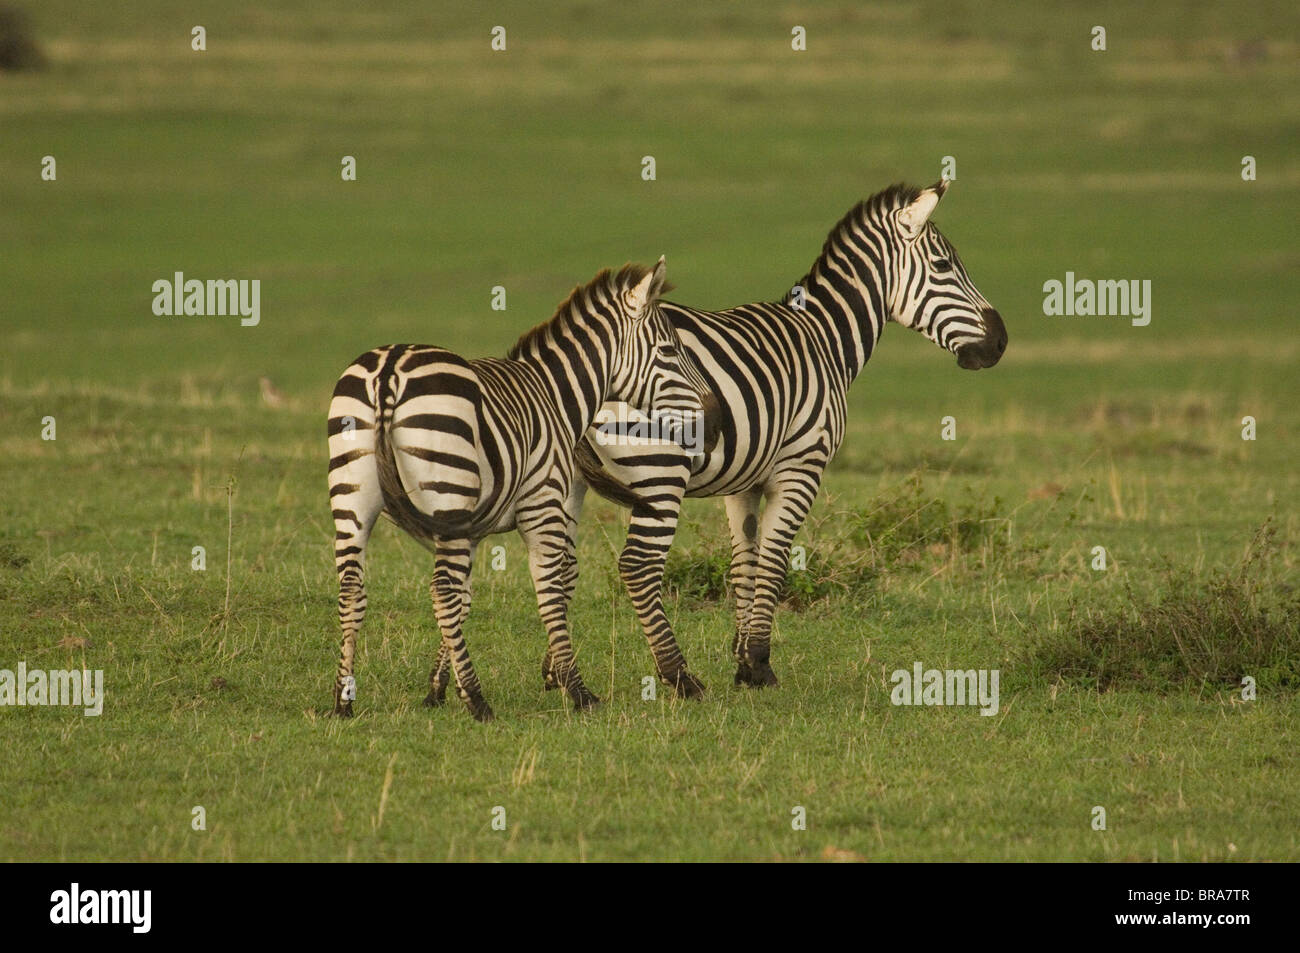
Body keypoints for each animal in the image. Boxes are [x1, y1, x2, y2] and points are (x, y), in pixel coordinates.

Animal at [325, 258, 720, 721]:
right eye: (669, 351)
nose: (715, 420)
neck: (556, 396)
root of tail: (389, 367)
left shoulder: (475, 529)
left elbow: (468, 599)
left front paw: (437, 688)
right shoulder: (544, 504)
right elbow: (552, 586)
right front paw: (575, 689)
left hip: (352, 498)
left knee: (353, 588)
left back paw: (343, 699)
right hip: (446, 493)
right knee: (441, 590)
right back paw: (479, 701)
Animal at [574, 180, 1007, 692]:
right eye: (943, 265)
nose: (1000, 342)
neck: (824, 338)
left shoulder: (743, 480)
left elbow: (744, 564)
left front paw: (742, 662)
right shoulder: (801, 468)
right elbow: (775, 561)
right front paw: (761, 663)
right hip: (661, 472)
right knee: (639, 567)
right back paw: (677, 676)